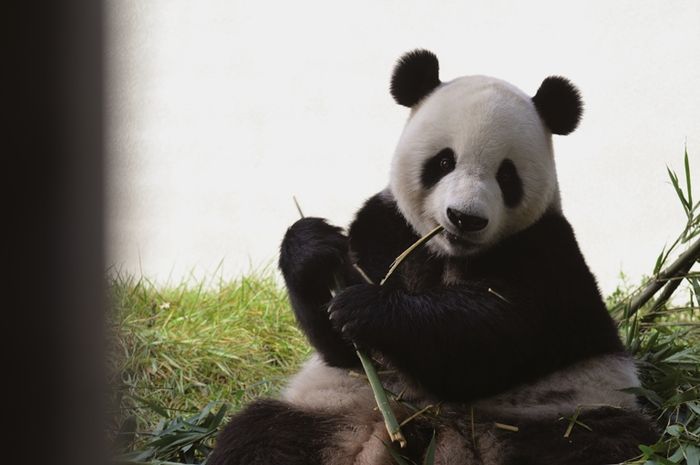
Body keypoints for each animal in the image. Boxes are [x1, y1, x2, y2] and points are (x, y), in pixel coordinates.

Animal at [208, 50, 657, 465]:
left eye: (506, 175)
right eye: (444, 161)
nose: (465, 218)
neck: (447, 252)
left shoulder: (547, 252)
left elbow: (494, 336)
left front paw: (369, 309)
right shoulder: (385, 226)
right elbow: (341, 349)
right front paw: (315, 250)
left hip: (562, 411)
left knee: (601, 443)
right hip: (334, 411)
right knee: (263, 436)